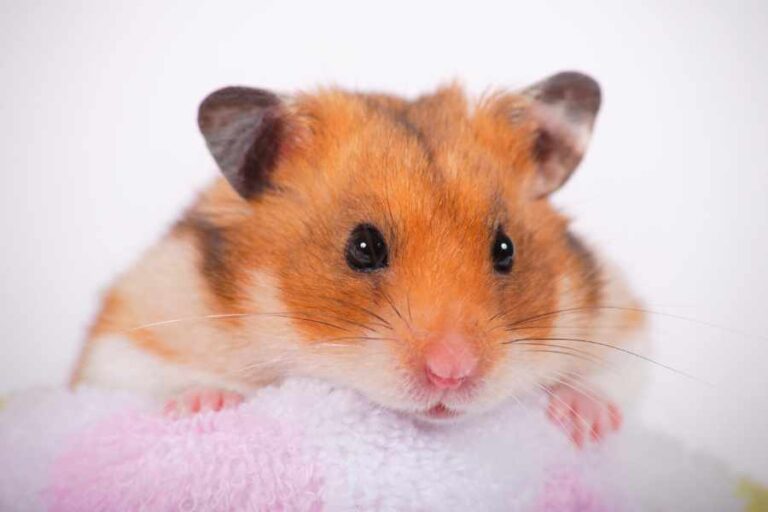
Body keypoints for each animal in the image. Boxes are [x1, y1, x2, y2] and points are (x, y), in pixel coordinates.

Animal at [71, 72, 646, 446]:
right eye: (363, 247)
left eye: (506, 250)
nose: (452, 375)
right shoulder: (127, 329)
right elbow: (144, 374)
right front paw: (206, 405)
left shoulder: (621, 316)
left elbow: (615, 370)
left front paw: (586, 420)